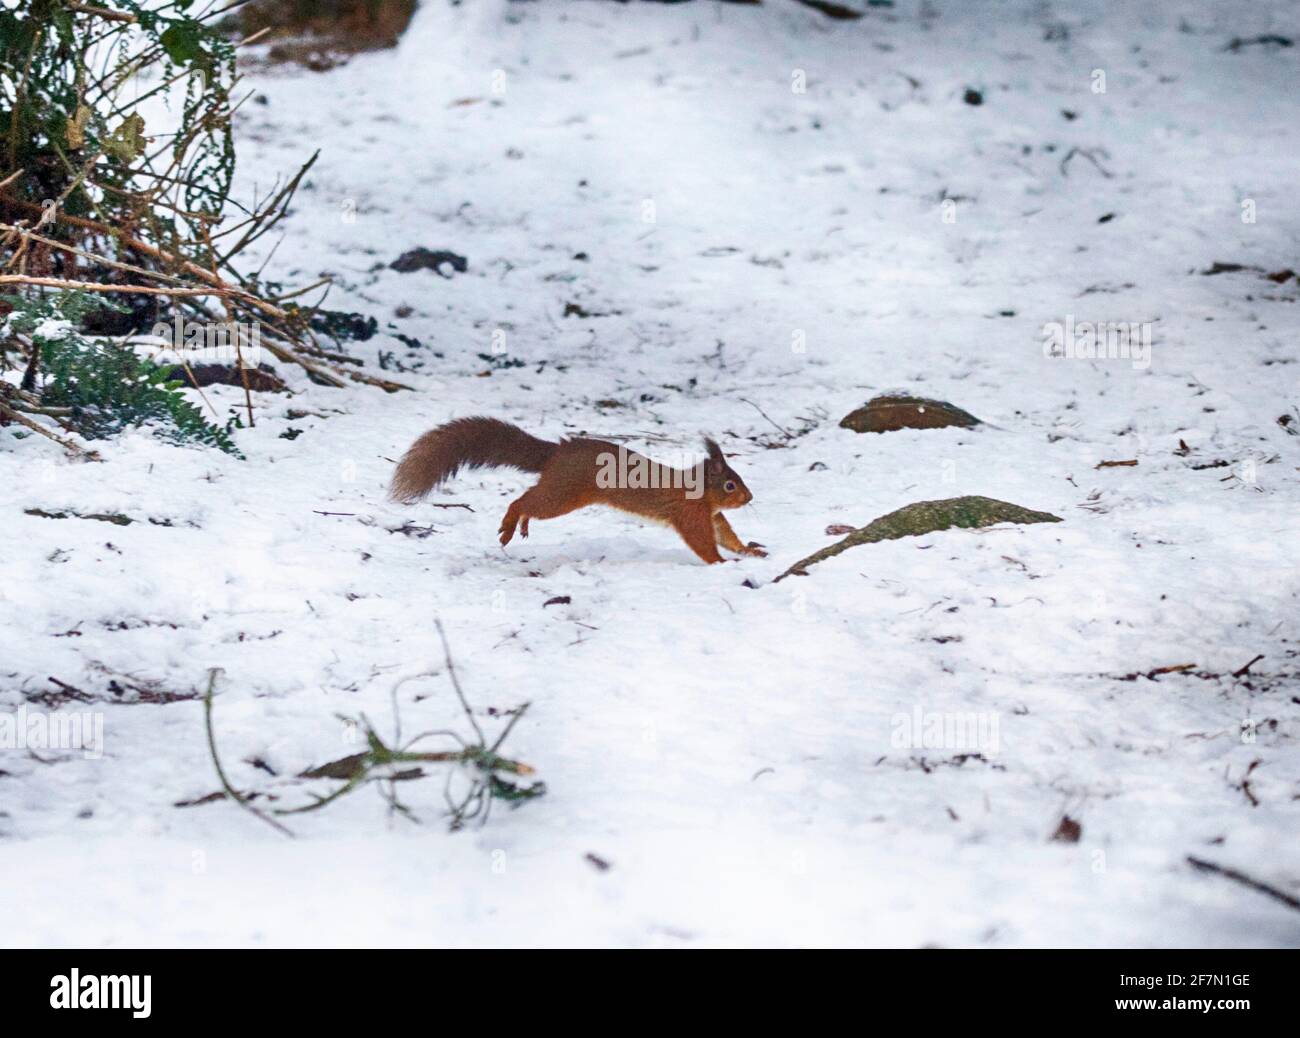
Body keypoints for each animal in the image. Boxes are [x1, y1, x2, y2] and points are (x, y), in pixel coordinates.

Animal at [389, 416, 766, 564]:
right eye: (730, 484)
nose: (750, 498)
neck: (698, 490)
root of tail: (557, 452)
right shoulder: (689, 514)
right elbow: (703, 543)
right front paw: (720, 563)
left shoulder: (711, 515)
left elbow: (726, 535)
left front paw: (749, 551)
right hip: (563, 494)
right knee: (523, 500)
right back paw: (510, 525)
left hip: (558, 490)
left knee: (529, 500)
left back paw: (520, 526)